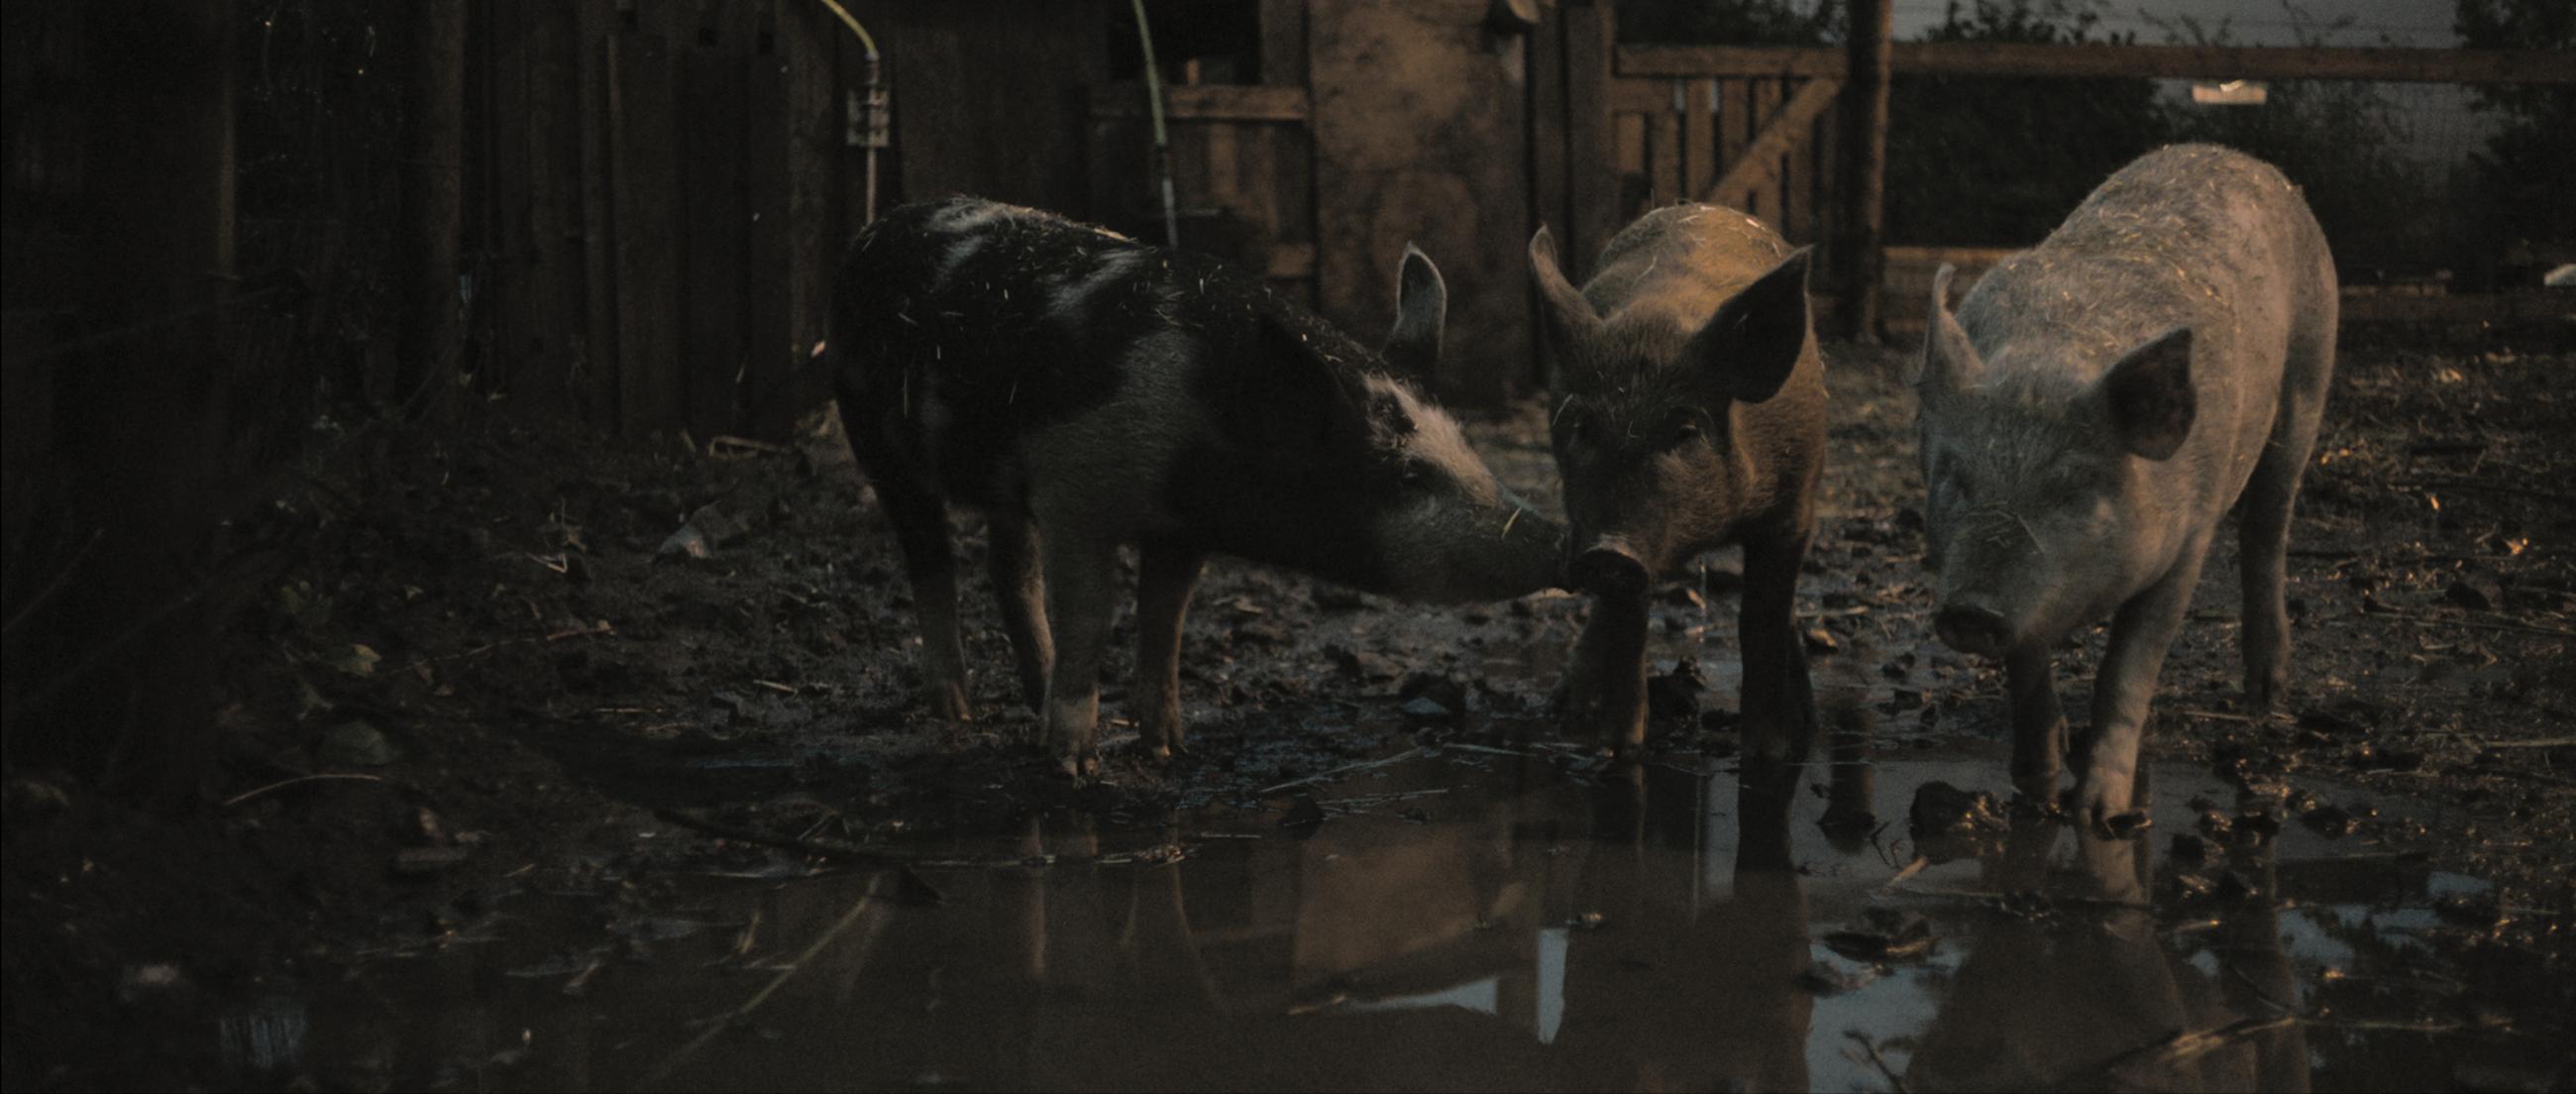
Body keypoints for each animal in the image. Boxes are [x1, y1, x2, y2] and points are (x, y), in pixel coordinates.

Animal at [830, 197, 1564, 776]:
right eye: (1408, 473)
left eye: (1466, 443)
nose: (1562, 539)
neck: (1198, 420)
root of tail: (874, 227)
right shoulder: (1076, 494)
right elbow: (1093, 616)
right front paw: (1075, 766)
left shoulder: (1181, 529)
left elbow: (1166, 621)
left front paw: (1169, 749)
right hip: (877, 443)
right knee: (930, 558)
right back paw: (954, 709)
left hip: (1004, 480)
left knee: (1008, 569)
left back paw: (1031, 697)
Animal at [1526, 205, 1827, 761]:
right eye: (1584, 428)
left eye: (1685, 430)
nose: (1609, 550)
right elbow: (1627, 634)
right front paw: (1617, 746)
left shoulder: (1790, 514)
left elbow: (1761, 622)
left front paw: (1771, 750)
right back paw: (1563, 710)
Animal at [1914, 144, 2338, 824]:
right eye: (1956, 476)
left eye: (2072, 488)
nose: (1969, 611)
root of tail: (2240, 157)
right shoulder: (2028, 596)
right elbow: (2027, 665)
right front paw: (2034, 782)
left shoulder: (2188, 544)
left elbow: (2126, 669)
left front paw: (2099, 814)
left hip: (2310, 374)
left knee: (2268, 528)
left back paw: (2267, 695)